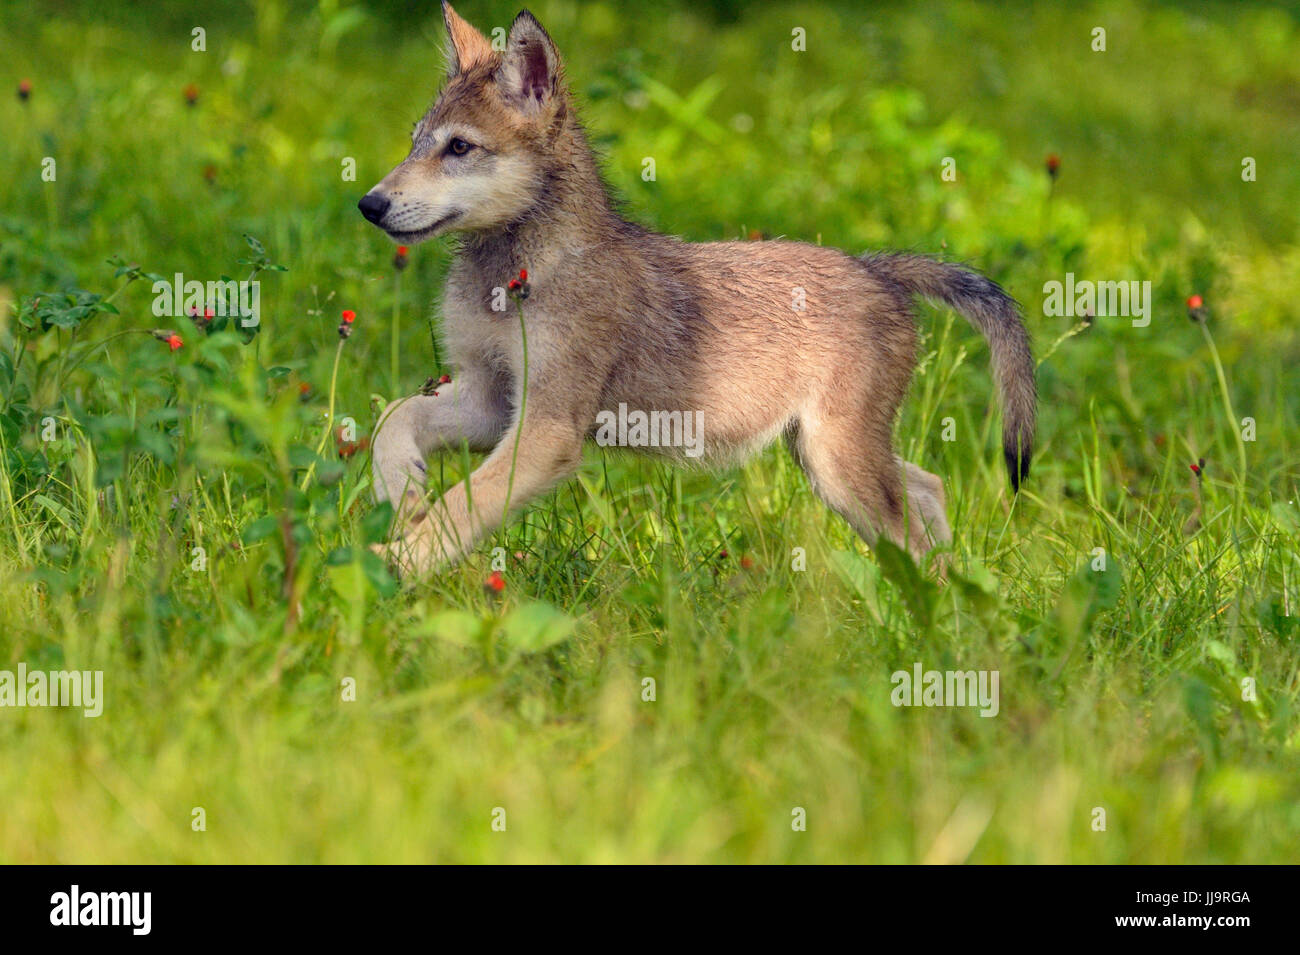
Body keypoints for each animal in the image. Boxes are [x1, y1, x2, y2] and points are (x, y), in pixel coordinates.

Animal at [359, 3, 1035, 577]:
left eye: (460, 147)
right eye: (415, 141)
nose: (369, 205)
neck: (512, 277)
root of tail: (877, 268)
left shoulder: (547, 427)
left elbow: (463, 506)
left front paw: (394, 568)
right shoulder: (489, 398)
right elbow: (394, 419)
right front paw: (402, 493)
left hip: (838, 465)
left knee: (918, 544)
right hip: (825, 457)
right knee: (928, 490)